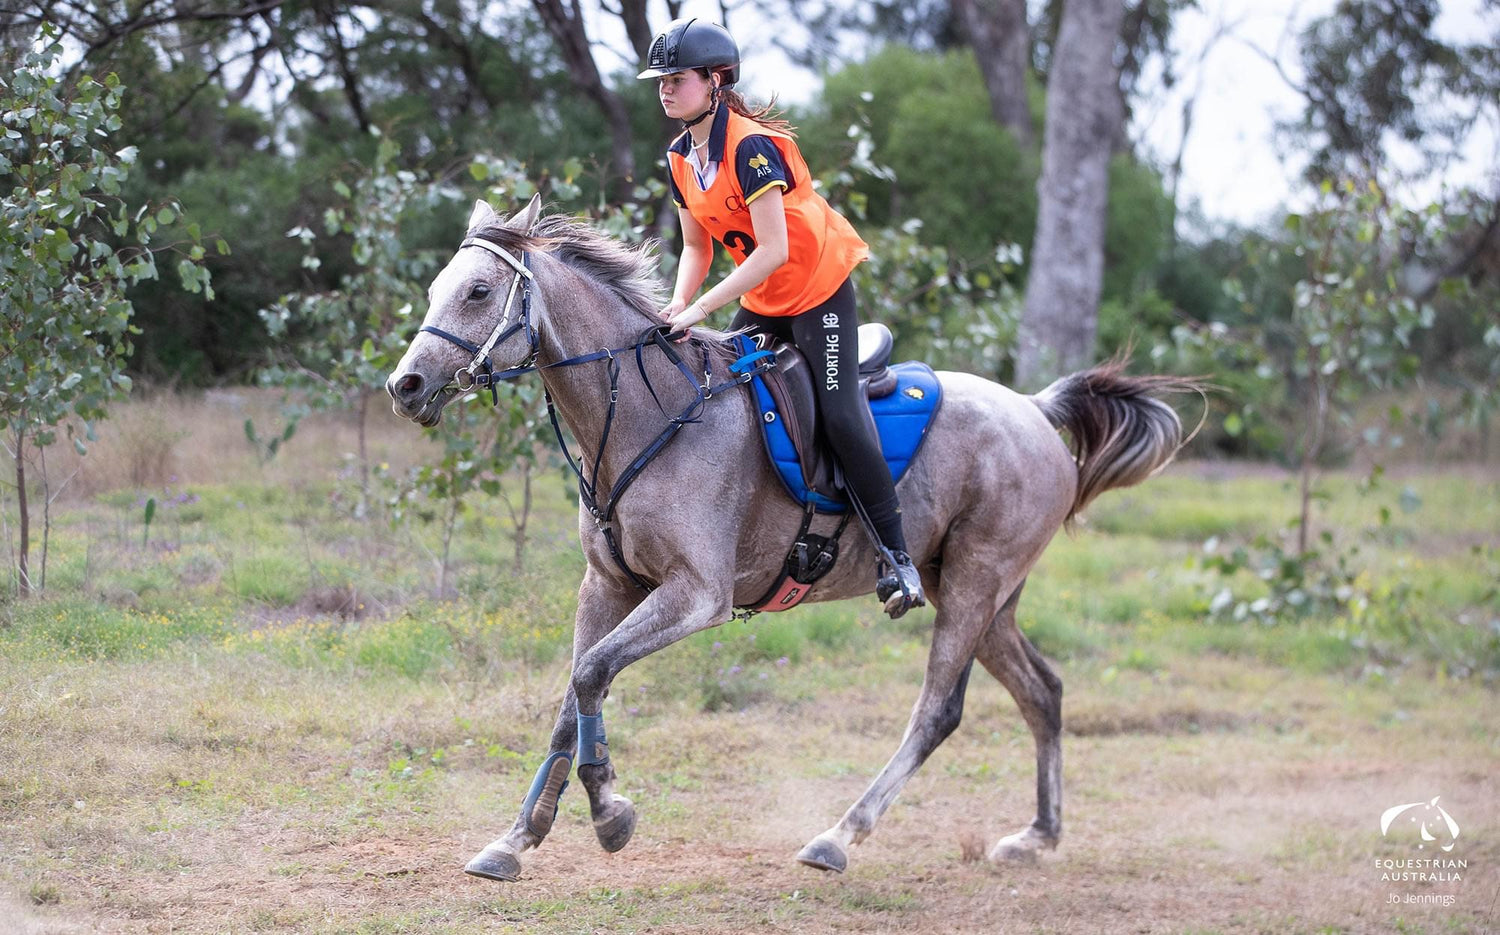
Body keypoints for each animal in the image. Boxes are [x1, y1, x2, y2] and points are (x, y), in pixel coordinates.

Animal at [386, 195, 1192, 882]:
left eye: (478, 292)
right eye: (437, 287)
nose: (406, 386)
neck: (649, 413)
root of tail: (1034, 407)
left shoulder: (696, 596)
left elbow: (590, 675)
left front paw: (610, 813)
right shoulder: (608, 585)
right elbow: (572, 695)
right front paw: (516, 839)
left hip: (974, 583)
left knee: (938, 711)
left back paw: (839, 836)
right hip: (986, 596)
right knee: (1042, 691)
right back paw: (1037, 834)